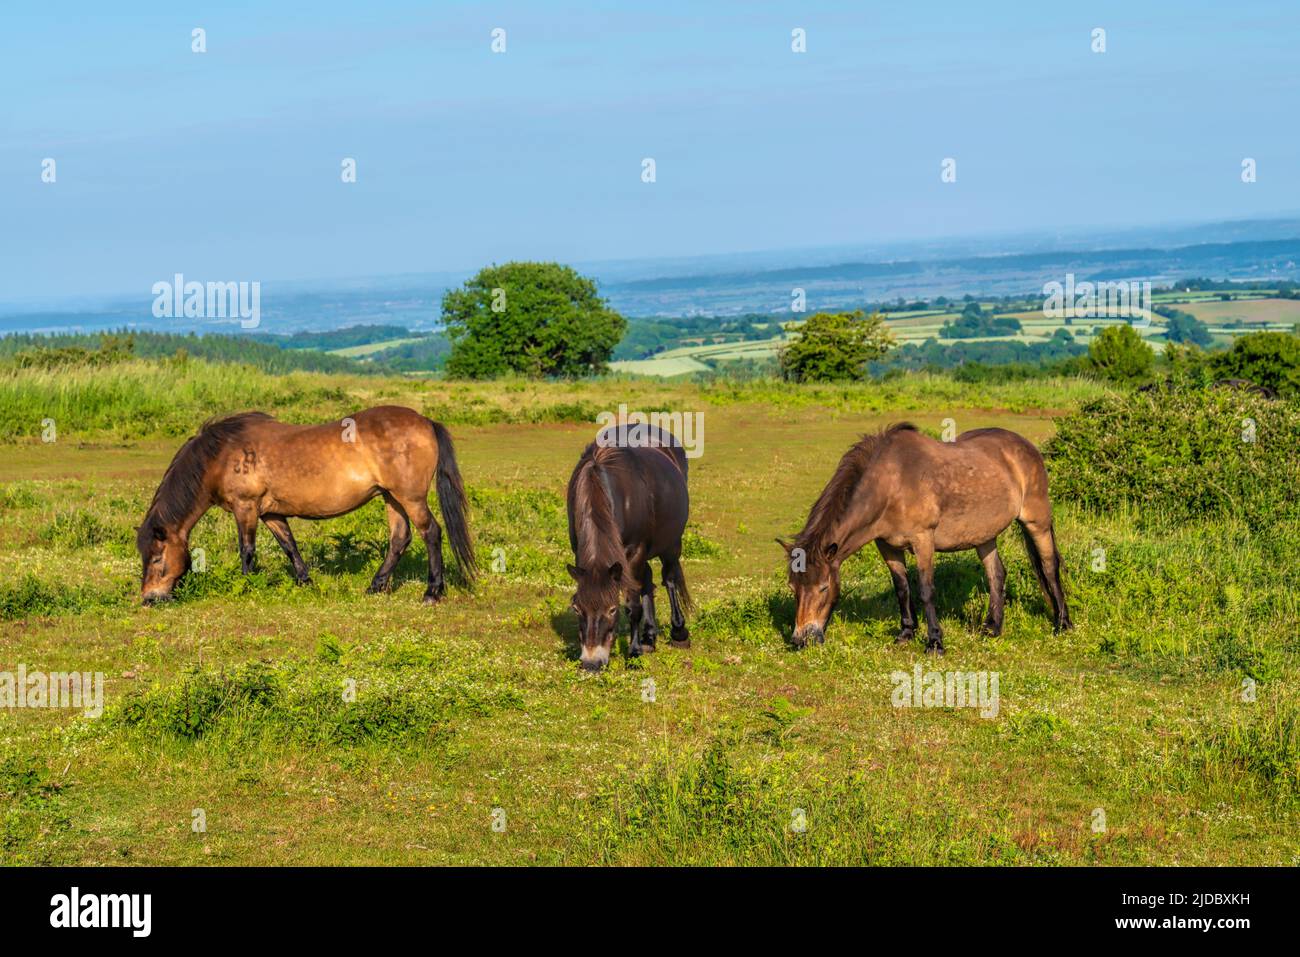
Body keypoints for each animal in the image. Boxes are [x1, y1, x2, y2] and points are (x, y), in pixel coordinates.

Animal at [136, 406, 475, 604]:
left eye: (156, 558)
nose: (149, 598)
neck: (220, 456)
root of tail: (425, 421)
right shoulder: (271, 513)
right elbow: (290, 546)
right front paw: (305, 582)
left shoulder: (246, 508)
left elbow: (247, 550)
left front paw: (246, 586)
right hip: (392, 498)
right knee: (399, 539)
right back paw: (375, 586)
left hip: (410, 498)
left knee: (431, 533)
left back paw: (432, 592)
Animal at [565, 423, 692, 671]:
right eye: (576, 608)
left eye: (612, 609)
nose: (592, 662)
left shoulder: (635, 552)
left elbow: (633, 606)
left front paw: (633, 653)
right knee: (648, 580)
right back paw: (649, 637)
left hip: (671, 544)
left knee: (669, 578)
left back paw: (678, 631)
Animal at [778, 423, 1071, 655]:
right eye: (793, 588)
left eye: (823, 587)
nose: (801, 639)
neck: (892, 484)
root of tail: (1026, 446)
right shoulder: (886, 546)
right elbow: (902, 588)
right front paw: (906, 633)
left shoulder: (923, 541)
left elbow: (926, 590)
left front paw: (935, 643)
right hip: (984, 535)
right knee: (996, 574)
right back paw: (992, 627)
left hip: (1037, 521)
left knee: (1049, 567)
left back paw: (1062, 624)